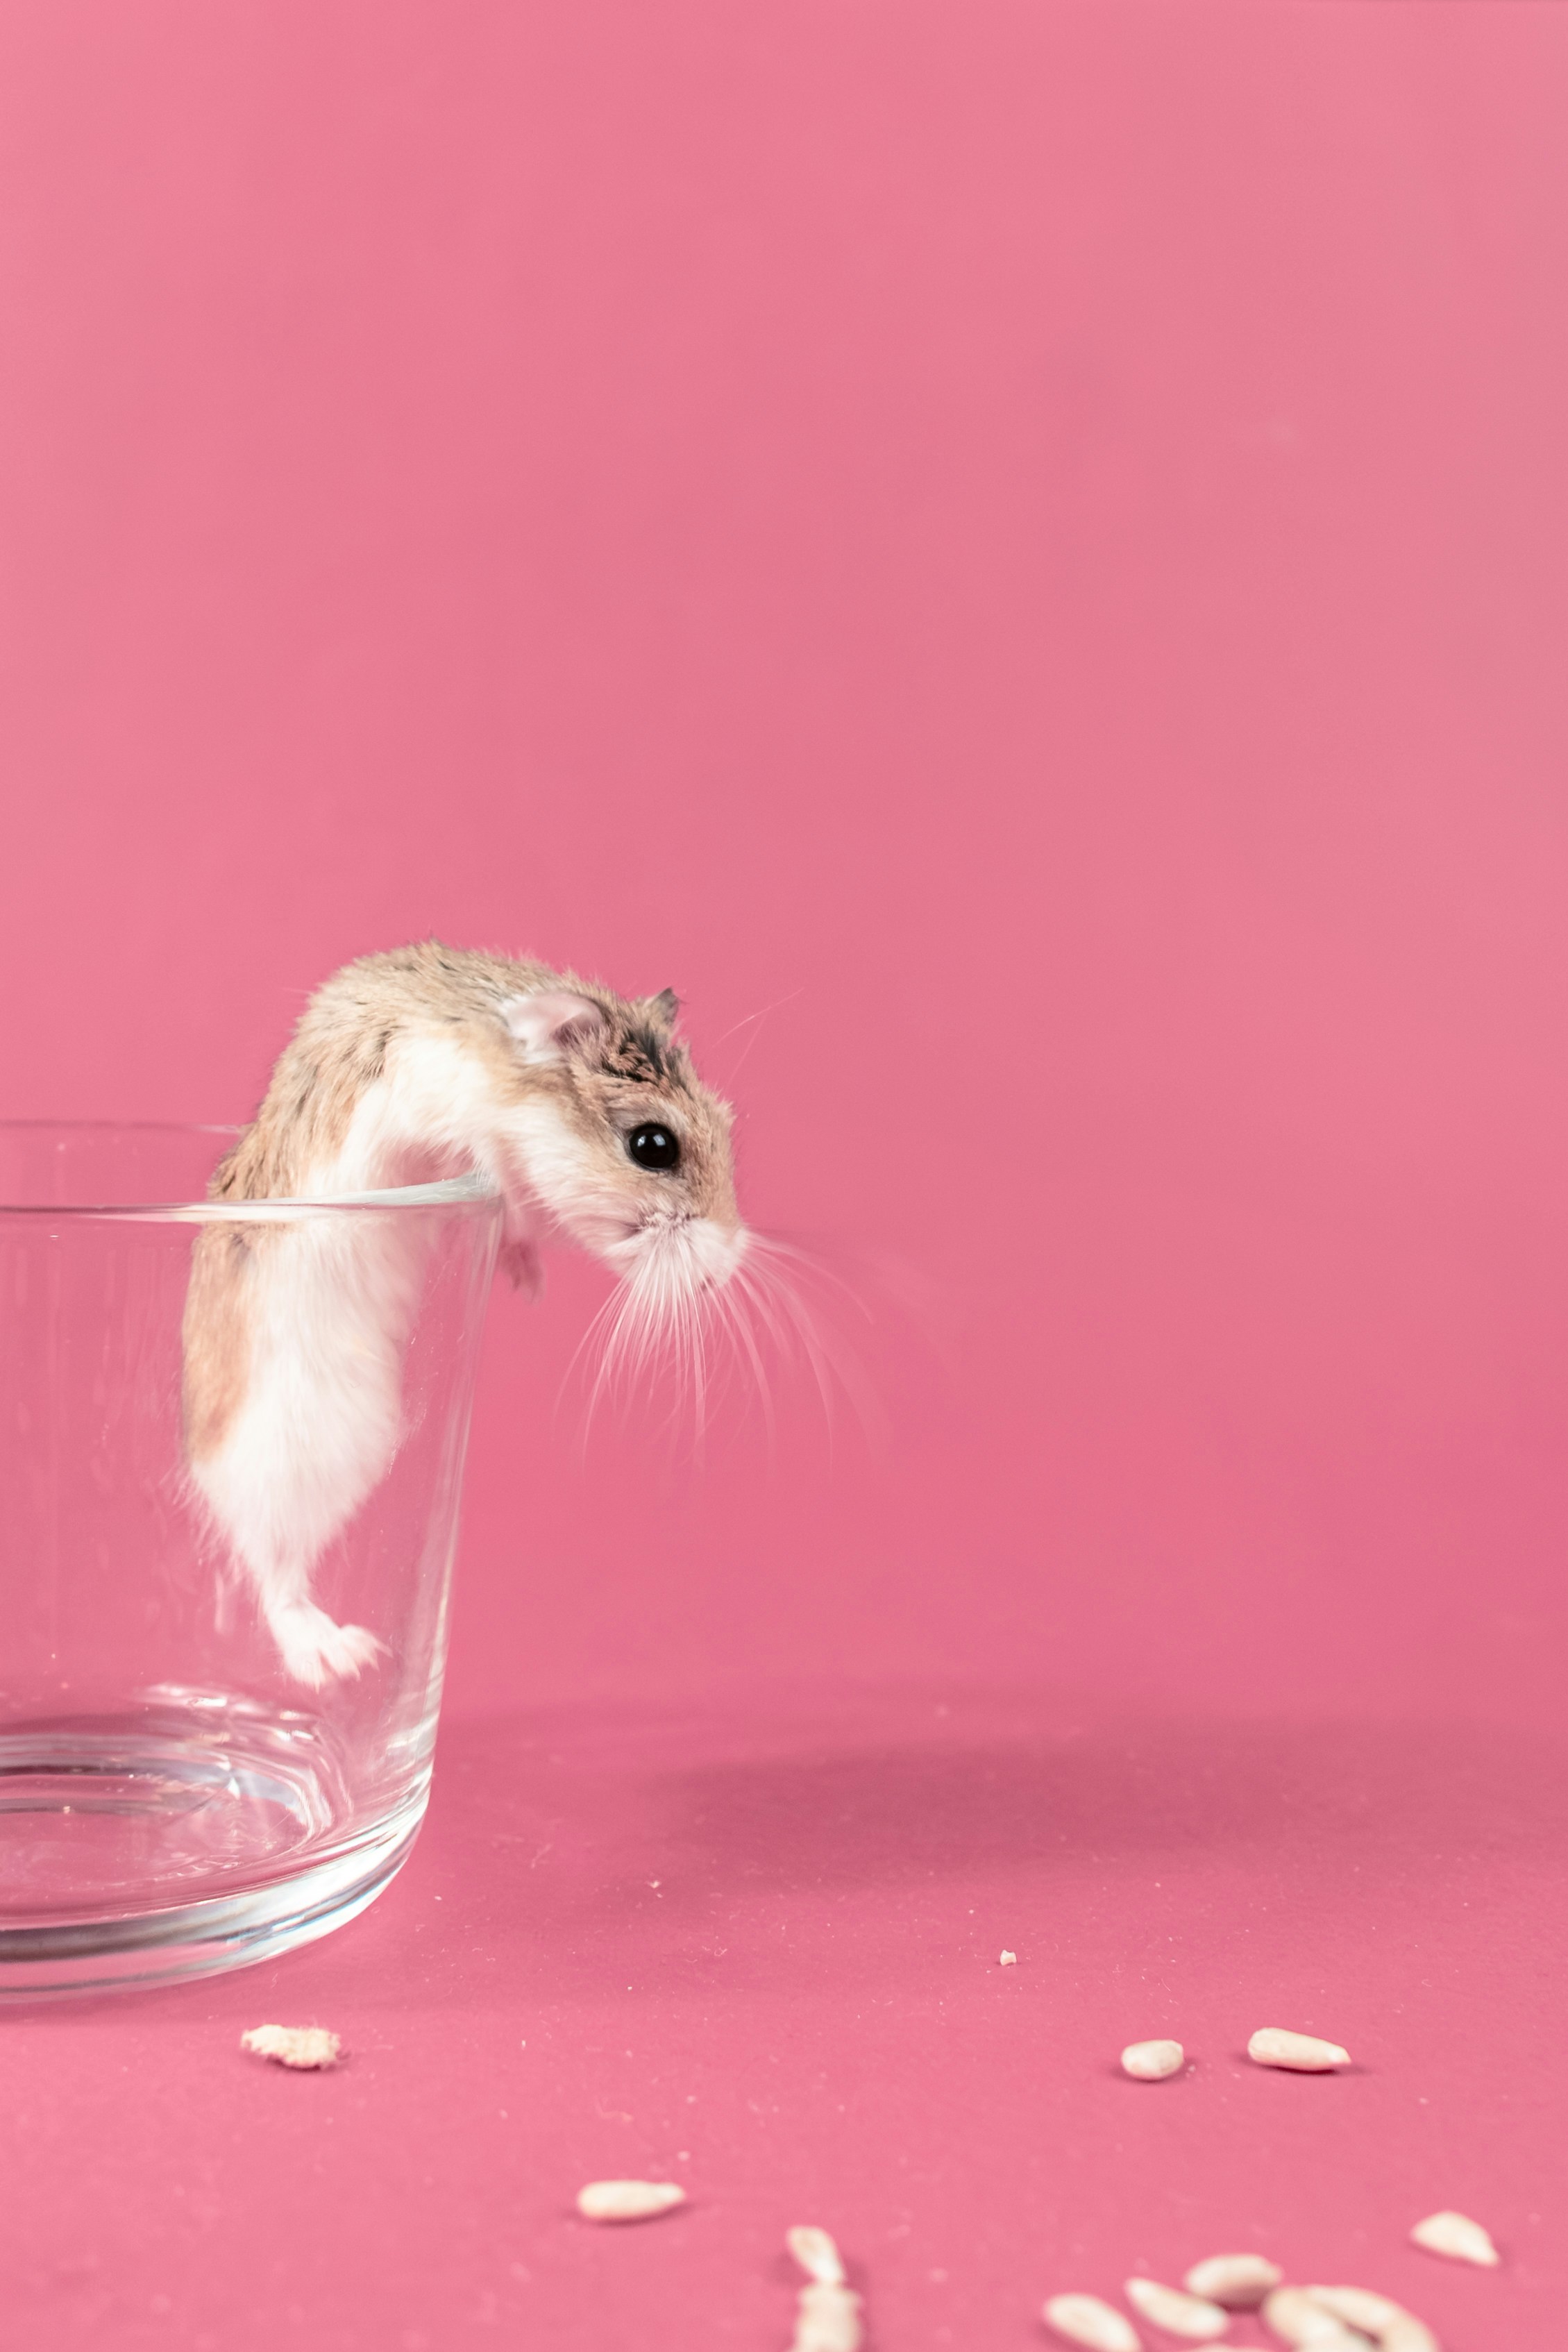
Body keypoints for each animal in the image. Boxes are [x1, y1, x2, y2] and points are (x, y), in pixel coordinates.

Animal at [182, 942, 747, 1687]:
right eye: (654, 1145)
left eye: (726, 1129)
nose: (723, 1272)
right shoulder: (438, 1108)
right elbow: (500, 1181)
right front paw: (528, 1273)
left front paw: (530, 1284)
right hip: (304, 1451)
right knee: (274, 1573)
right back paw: (338, 1659)